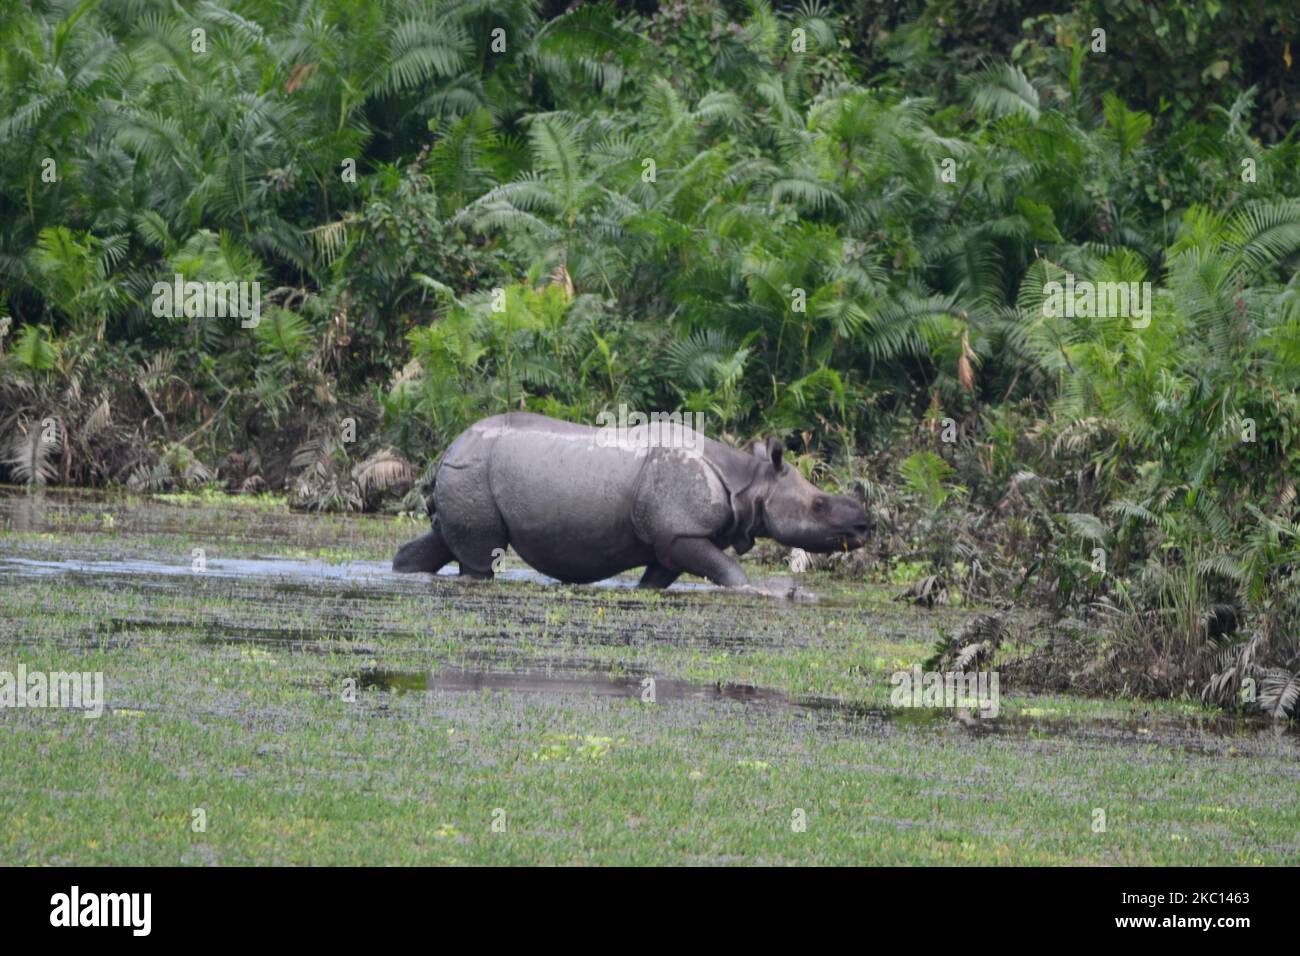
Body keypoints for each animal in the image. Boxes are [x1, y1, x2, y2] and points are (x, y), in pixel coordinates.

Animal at [392, 412, 870, 590]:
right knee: (479, 558)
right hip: (474, 470)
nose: (866, 525)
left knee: (444, 539)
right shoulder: (681, 532)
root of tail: (449, 448)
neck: (747, 481)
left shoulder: (670, 540)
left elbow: (655, 580)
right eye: (819, 506)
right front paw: (773, 592)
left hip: (468, 473)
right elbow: (731, 573)